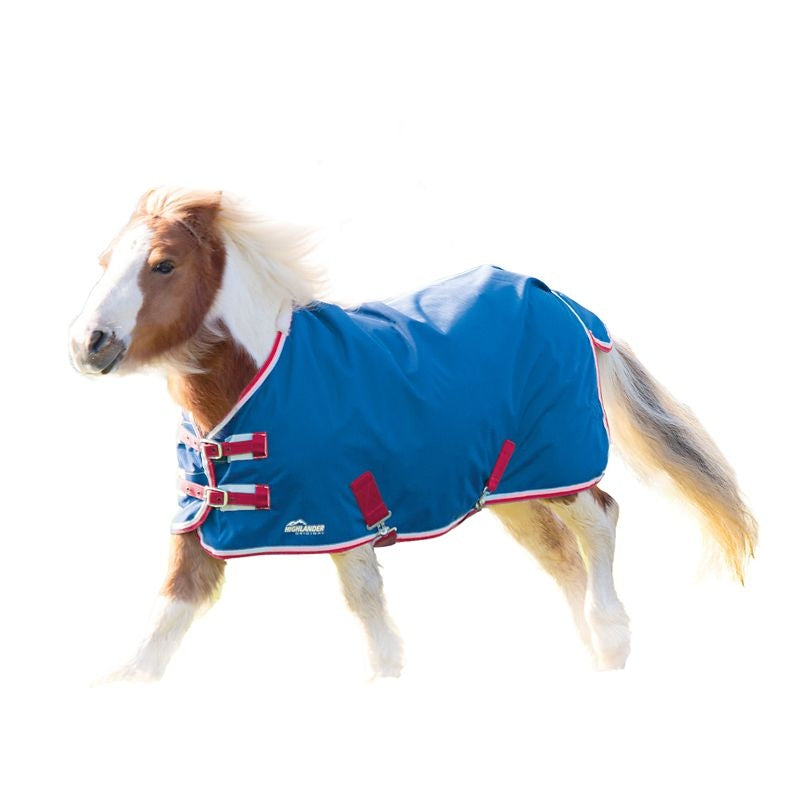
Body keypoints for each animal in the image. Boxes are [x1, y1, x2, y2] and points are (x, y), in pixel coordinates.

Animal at [69, 187, 758, 681]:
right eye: (103, 262)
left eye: (163, 264)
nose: (88, 344)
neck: (257, 385)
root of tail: (562, 301)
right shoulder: (203, 518)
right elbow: (163, 626)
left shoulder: (341, 514)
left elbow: (368, 610)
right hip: (508, 487)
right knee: (562, 556)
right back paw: (585, 653)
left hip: (558, 458)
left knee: (601, 520)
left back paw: (611, 641)